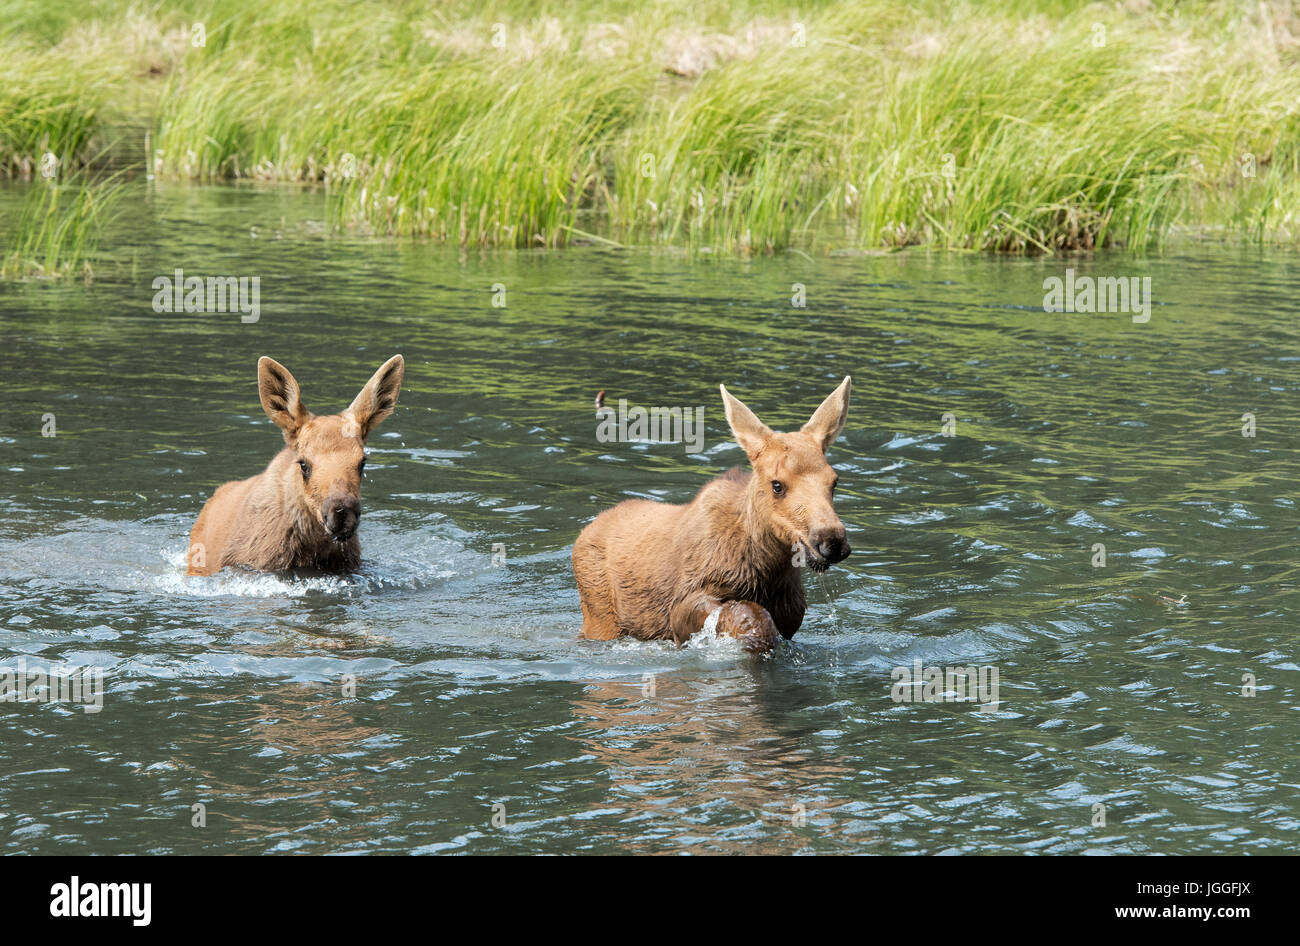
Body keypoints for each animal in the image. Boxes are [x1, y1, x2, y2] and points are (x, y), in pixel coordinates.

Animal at [572, 377, 852, 654]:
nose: (831, 541)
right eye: (777, 484)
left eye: (834, 481)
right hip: (599, 620)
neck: (766, 568)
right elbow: (747, 614)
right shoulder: (684, 605)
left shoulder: (790, 617)